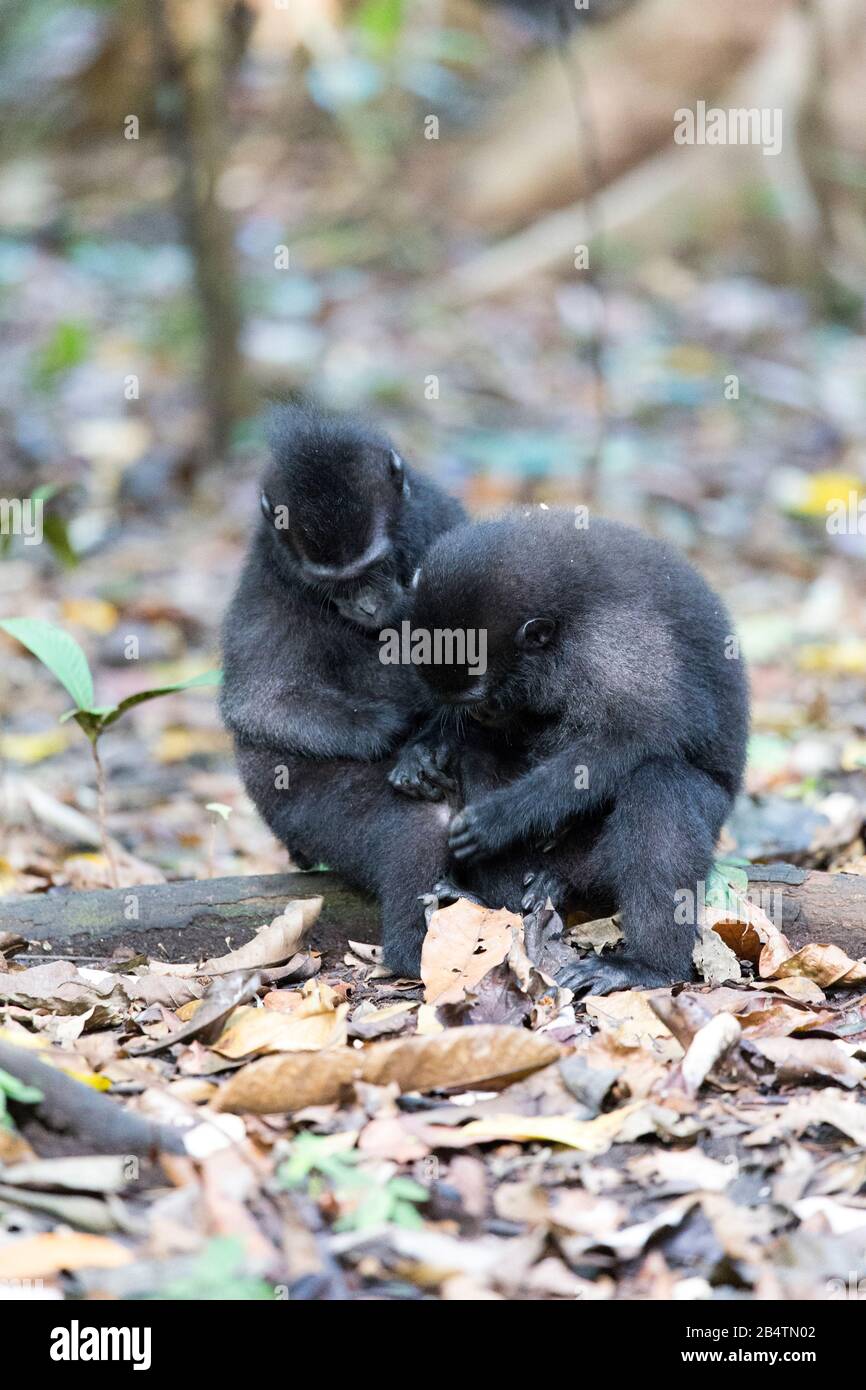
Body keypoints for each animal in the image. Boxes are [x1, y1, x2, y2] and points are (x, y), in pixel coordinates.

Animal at [399, 508, 750, 993]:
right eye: (470, 704)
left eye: (482, 700)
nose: (482, 715)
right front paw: (425, 749)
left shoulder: (605, 640)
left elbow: (645, 730)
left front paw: (500, 819)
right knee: (483, 751)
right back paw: (491, 899)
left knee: (662, 787)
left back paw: (648, 964)